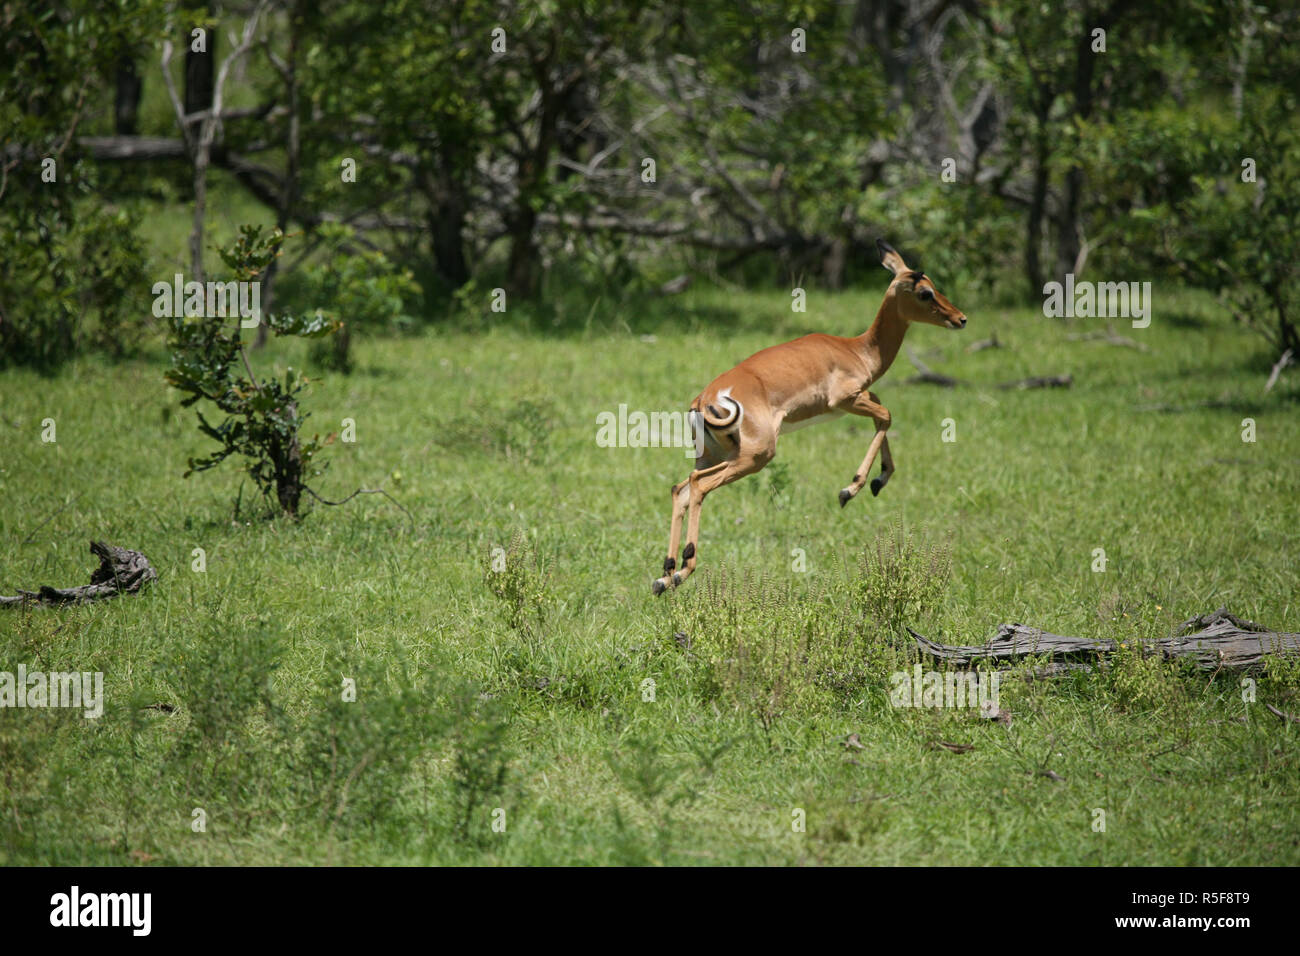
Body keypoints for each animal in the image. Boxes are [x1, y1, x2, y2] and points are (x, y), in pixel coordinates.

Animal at [652, 239, 967, 595]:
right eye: (926, 292)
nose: (961, 318)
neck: (857, 350)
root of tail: (704, 400)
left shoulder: (859, 397)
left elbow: (881, 411)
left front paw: (877, 480)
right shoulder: (844, 400)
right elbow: (886, 415)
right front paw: (852, 488)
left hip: (718, 455)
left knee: (680, 489)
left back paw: (666, 576)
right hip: (754, 456)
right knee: (698, 486)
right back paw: (684, 568)